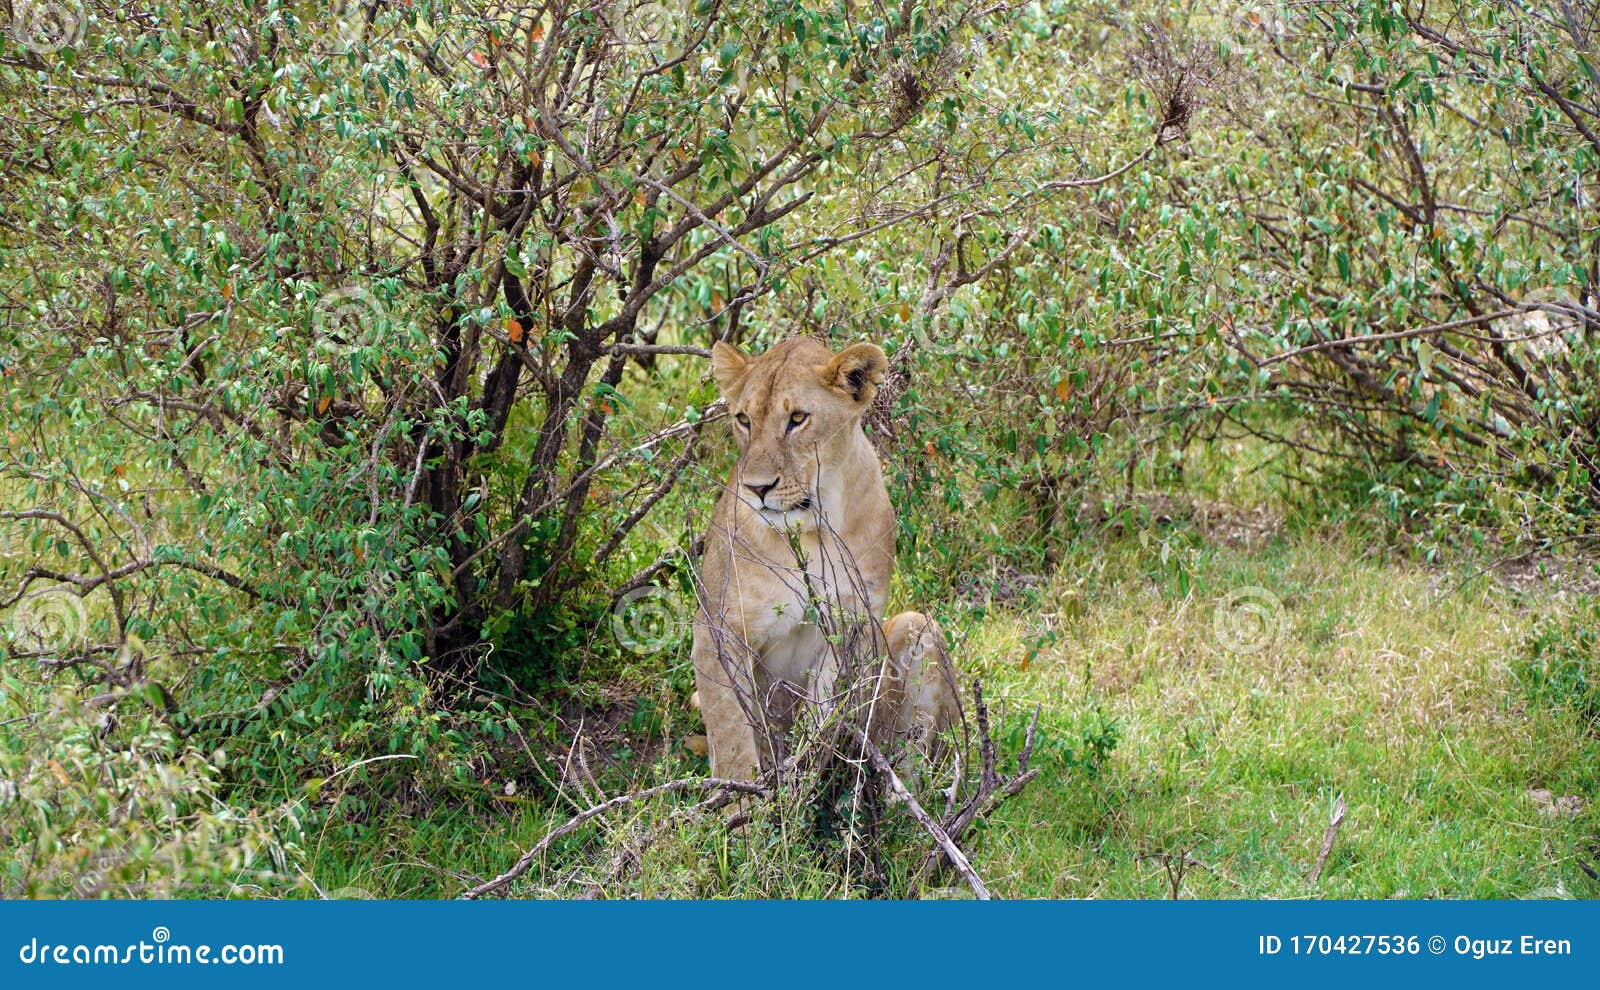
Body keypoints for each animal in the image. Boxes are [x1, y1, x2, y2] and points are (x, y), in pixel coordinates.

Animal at [690, 336, 957, 781]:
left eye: (797, 419)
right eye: (743, 419)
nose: (757, 488)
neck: (812, 530)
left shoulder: (852, 627)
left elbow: (821, 718)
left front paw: (800, 778)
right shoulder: (719, 628)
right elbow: (730, 733)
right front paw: (741, 797)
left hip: (918, 629)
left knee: (913, 754)